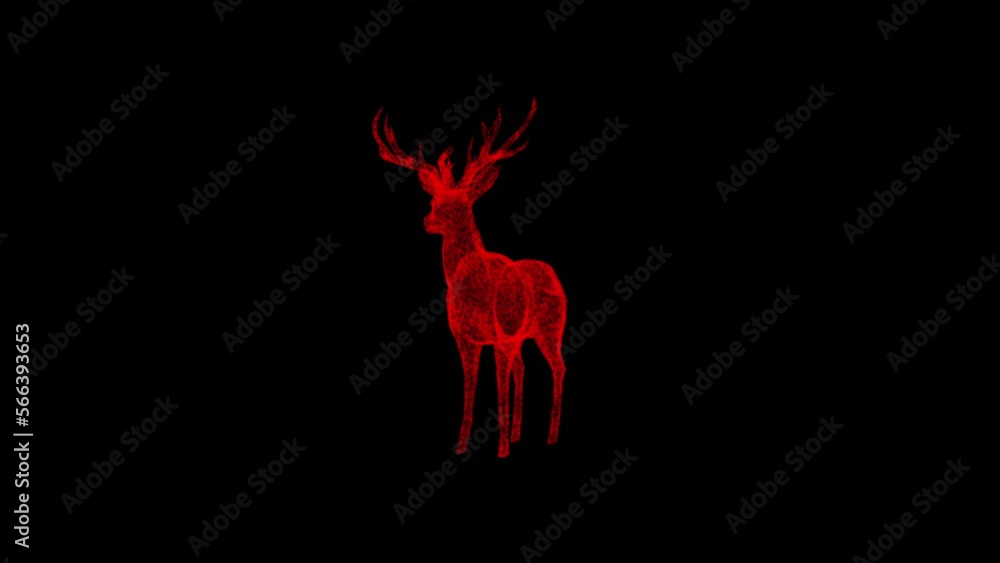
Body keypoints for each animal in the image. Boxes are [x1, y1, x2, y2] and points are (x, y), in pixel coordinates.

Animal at [372, 97, 567, 458]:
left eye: (460, 204)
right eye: (435, 200)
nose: (427, 221)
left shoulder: (500, 336)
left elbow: (499, 386)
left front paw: (501, 450)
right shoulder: (466, 338)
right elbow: (470, 387)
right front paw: (462, 444)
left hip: (549, 328)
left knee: (557, 367)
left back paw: (550, 435)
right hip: (522, 337)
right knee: (523, 367)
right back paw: (518, 433)